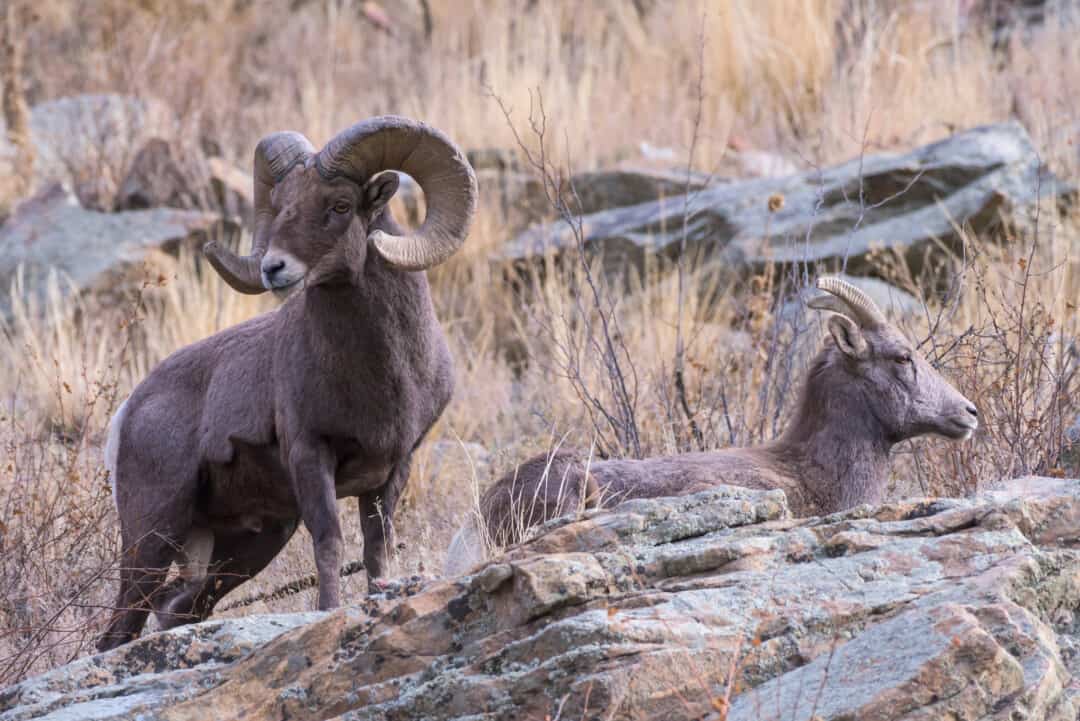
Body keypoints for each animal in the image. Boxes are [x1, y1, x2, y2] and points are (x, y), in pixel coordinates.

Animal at [97, 116, 477, 651]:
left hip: (250, 544)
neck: (384, 374)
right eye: (282, 206)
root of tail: (128, 413)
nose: (274, 268)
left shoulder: (394, 467)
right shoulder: (310, 455)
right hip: (152, 535)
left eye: (340, 206)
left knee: (177, 607)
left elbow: (377, 548)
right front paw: (329, 613)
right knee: (119, 629)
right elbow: (331, 542)